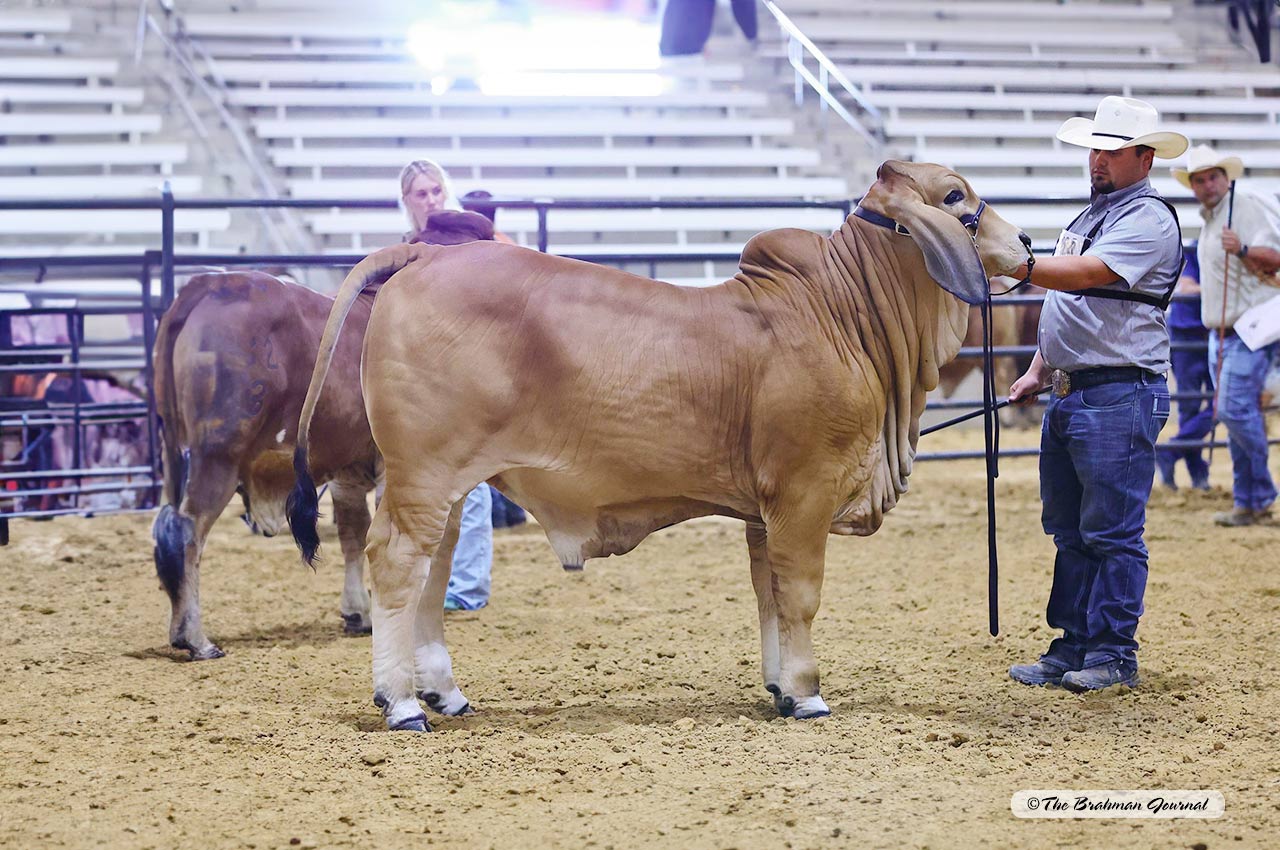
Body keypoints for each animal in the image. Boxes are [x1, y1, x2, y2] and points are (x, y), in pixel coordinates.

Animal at [152, 211, 493, 661]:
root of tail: (208, 285)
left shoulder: (348, 470)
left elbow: (353, 534)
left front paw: (358, 612)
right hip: (218, 456)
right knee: (187, 531)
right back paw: (196, 638)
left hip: (176, 456)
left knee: (165, 528)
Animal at [288, 161, 1032, 731]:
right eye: (955, 196)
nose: (1027, 241)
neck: (843, 315)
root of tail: (423, 255)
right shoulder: (803, 496)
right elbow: (799, 596)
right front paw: (807, 693)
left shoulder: (763, 513)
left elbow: (767, 595)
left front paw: (776, 686)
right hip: (423, 476)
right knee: (395, 568)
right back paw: (402, 703)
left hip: (446, 486)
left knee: (430, 575)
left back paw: (444, 691)